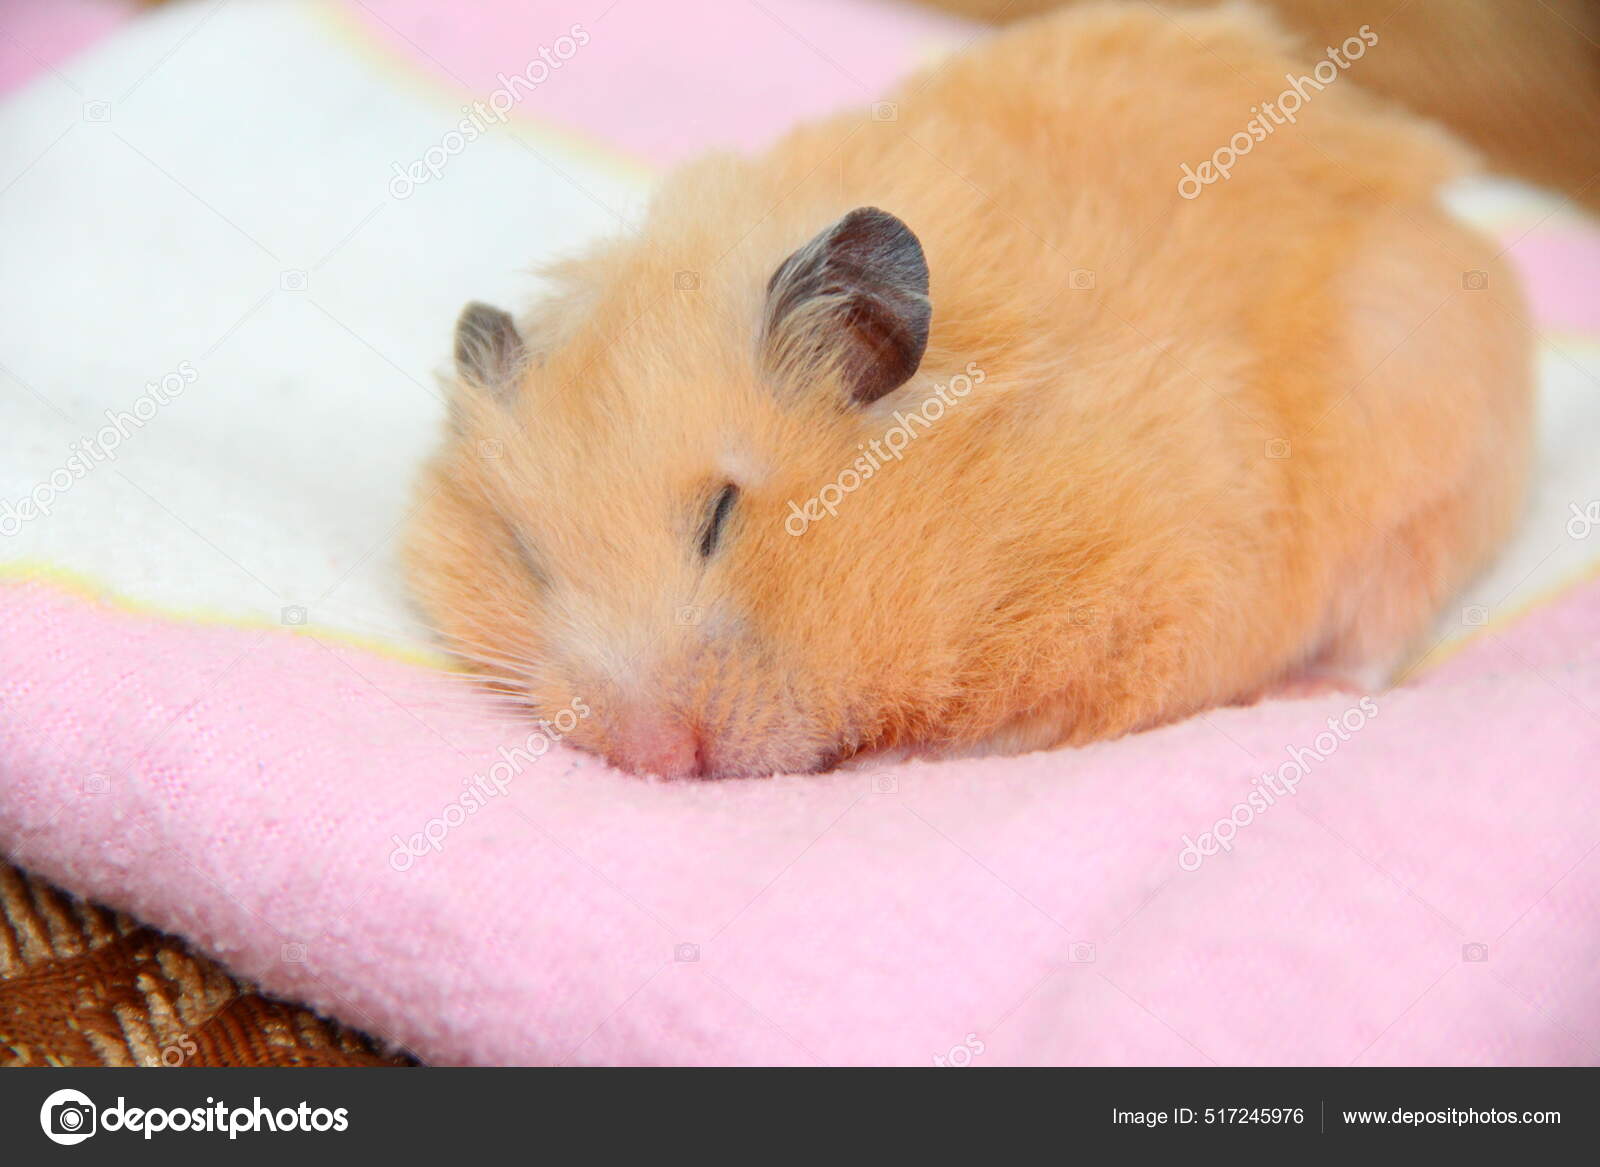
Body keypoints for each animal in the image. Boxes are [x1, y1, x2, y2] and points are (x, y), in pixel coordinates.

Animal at [403, 4, 1533, 779]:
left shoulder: (1152, 595)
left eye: (722, 517)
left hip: (1420, 433)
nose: (655, 756)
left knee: (1385, 621)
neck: (969, 498)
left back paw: (1306, 687)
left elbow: (1030, 718)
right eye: (527, 559)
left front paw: (904, 756)